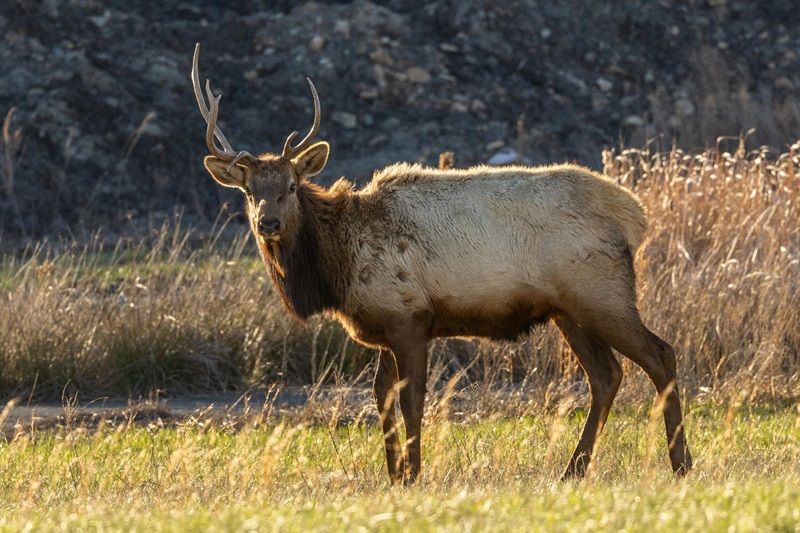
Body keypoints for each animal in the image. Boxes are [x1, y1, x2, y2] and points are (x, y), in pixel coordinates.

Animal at [190, 44, 692, 485]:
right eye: (249, 190)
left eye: (291, 186)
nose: (268, 223)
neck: (336, 269)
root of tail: (634, 217)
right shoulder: (386, 325)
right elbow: (381, 397)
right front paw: (394, 473)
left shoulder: (410, 318)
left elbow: (411, 398)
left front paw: (413, 473)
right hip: (568, 310)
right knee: (607, 375)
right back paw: (575, 469)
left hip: (601, 294)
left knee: (659, 354)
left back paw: (681, 463)